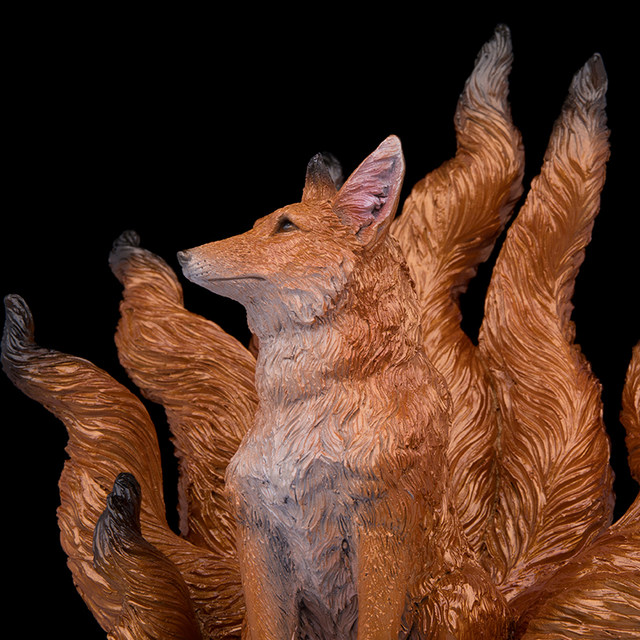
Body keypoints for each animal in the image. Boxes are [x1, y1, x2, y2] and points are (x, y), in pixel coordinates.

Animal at [177, 136, 511, 639]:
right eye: (257, 224)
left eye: (286, 227)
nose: (182, 255)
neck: (301, 411)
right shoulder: (257, 527)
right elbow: (263, 627)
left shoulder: (382, 523)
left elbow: (377, 624)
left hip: (452, 601)